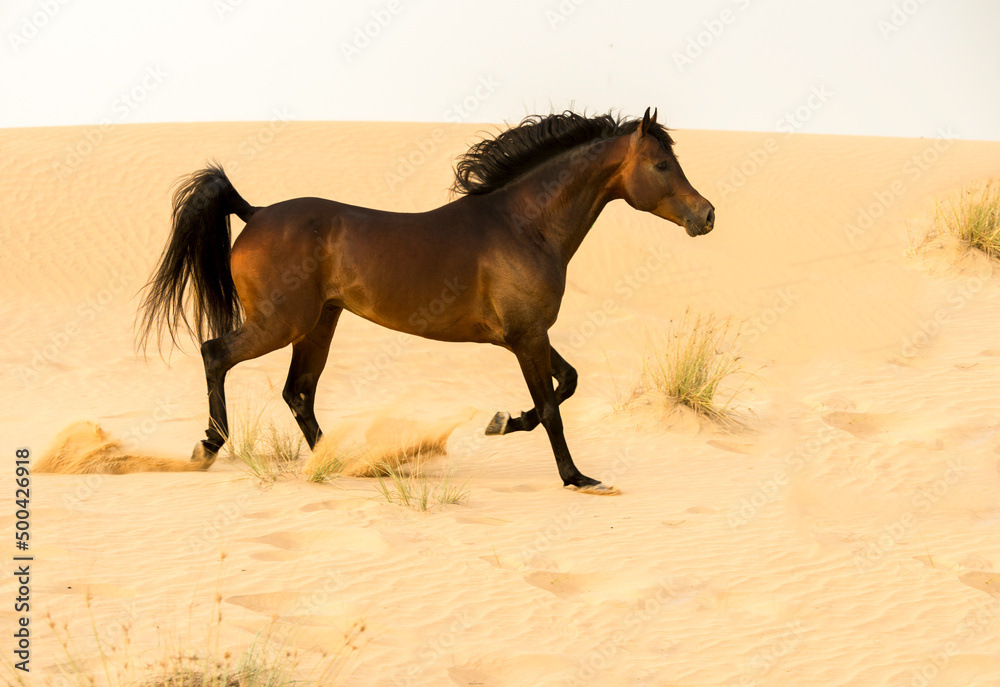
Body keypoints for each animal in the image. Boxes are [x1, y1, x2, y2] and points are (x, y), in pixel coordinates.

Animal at [138, 108, 715, 495]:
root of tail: (255, 213)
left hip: (318, 325)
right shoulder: (527, 337)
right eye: (662, 165)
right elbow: (553, 407)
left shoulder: (530, 335)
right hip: (280, 324)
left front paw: (503, 421)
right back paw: (209, 445)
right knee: (217, 354)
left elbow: (566, 383)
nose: (706, 215)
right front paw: (577, 477)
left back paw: (344, 465)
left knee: (298, 393)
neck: (524, 225)